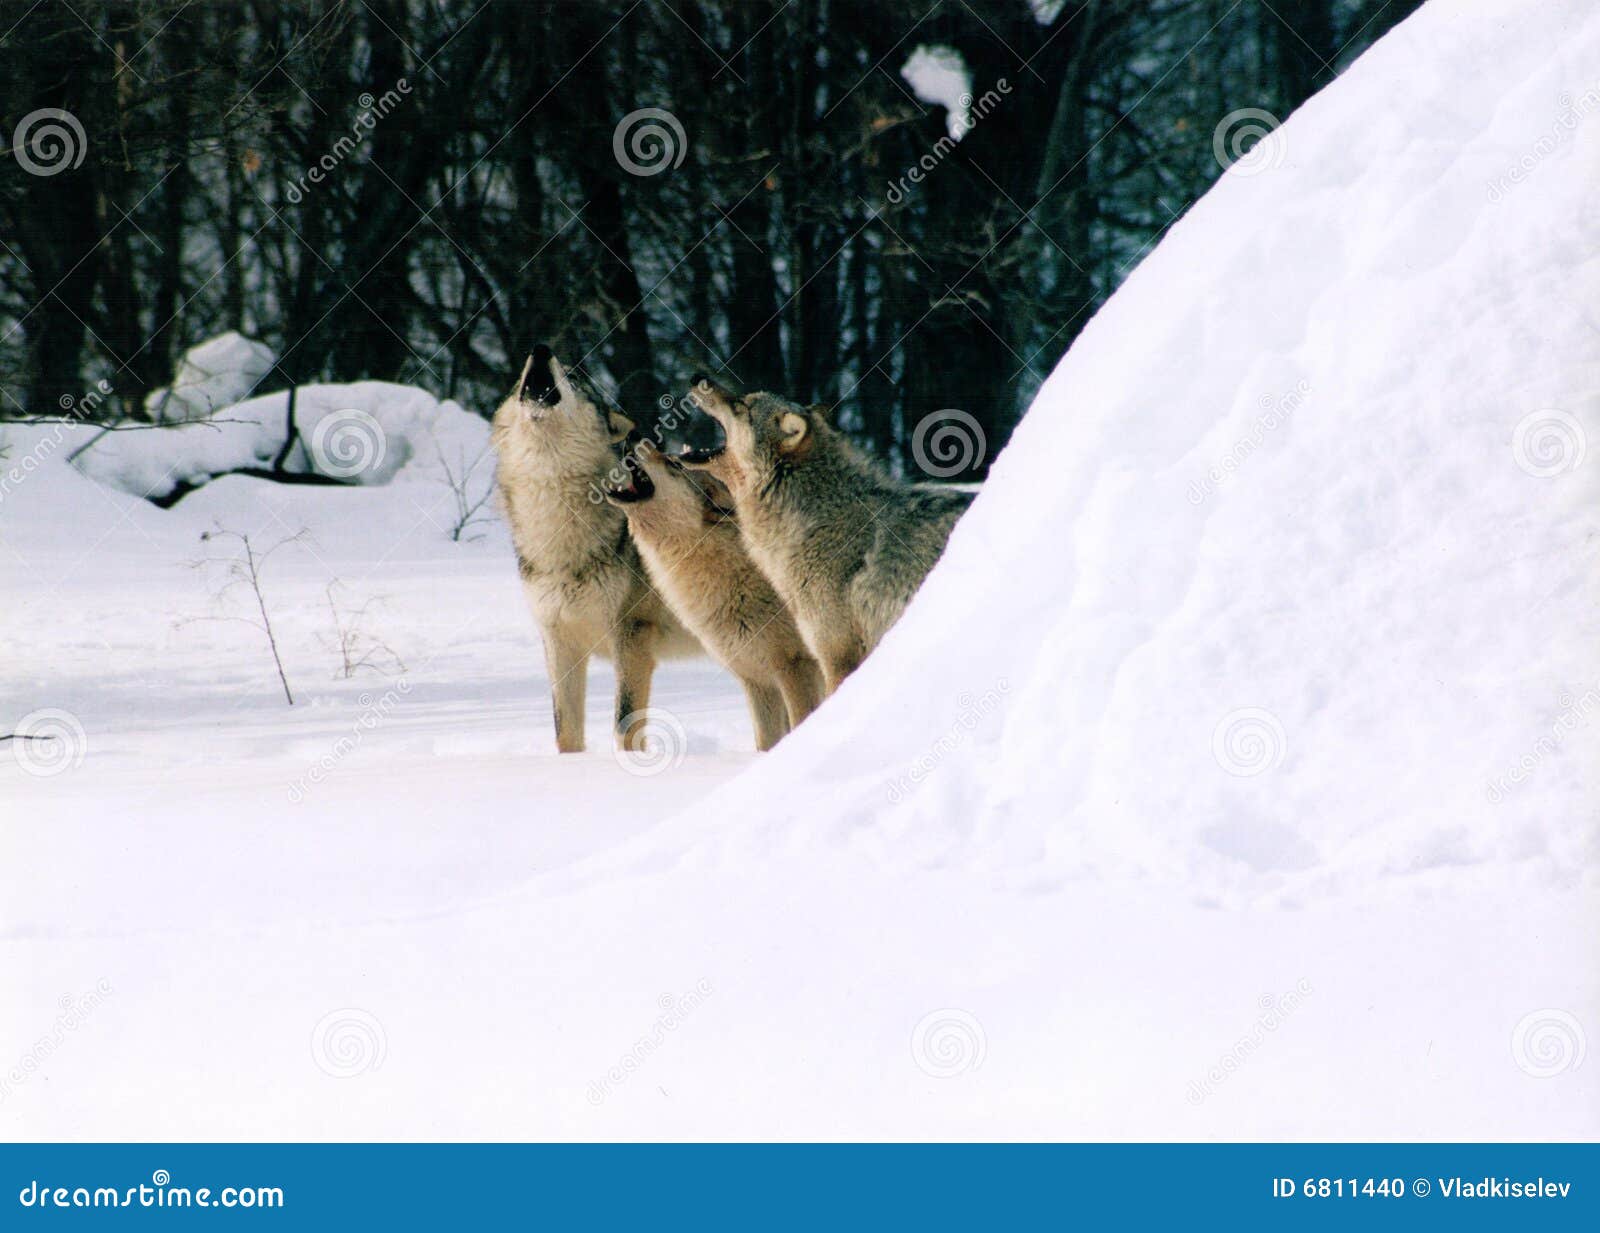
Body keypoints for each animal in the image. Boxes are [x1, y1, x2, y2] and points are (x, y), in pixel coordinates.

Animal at [492, 347, 700, 752]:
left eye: (575, 377)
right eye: (521, 374)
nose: (541, 348)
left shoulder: (632, 639)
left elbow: (624, 726)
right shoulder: (559, 643)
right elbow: (565, 731)